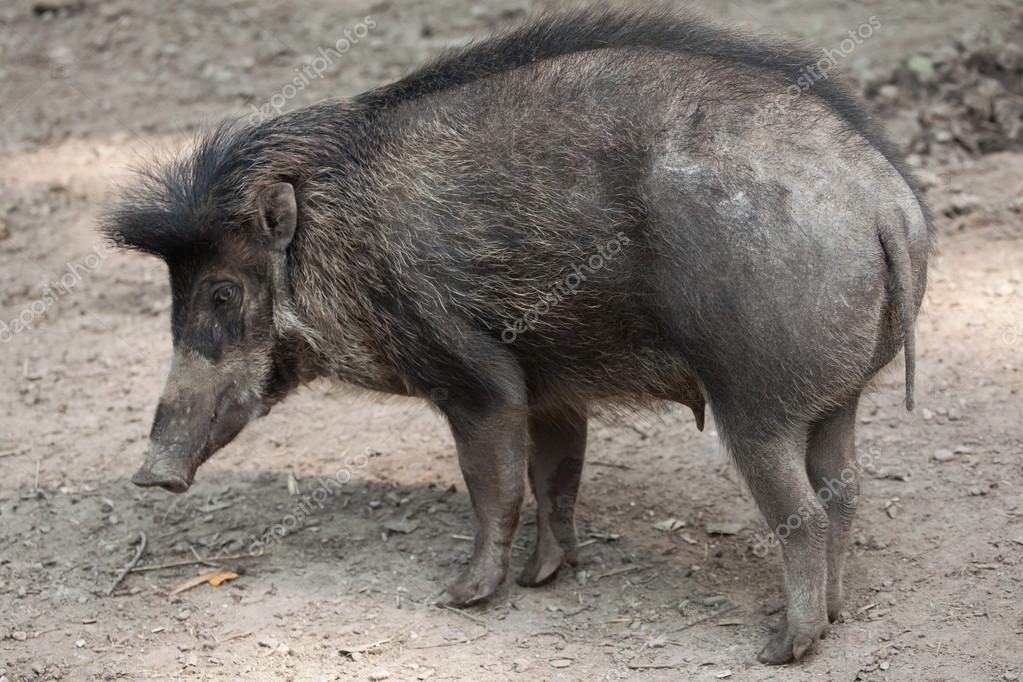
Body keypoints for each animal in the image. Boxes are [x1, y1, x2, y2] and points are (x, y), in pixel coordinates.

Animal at [102, 8, 933, 664]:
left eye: (222, 291)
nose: (150, 475)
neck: (339, 241)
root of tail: (884, 204)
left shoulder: (475, 378)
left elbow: (494, 488)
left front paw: (461, 596)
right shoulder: (553, 391)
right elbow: (553, 479)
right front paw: (543, 579)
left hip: (754, 401)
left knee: (805, 512)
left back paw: (780, 648)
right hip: (836, 396)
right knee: (844, 490)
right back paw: (833, 616)